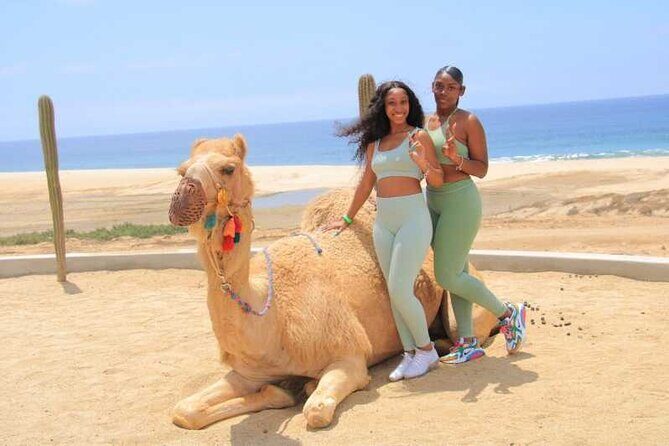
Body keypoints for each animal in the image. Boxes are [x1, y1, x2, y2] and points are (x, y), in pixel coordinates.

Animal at [169, 134, 498, 430]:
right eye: (182, 170)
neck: (272, 313)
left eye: (228, 168)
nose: (183, 196)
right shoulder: (250, 372)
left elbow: (315, 411)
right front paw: (279, 392)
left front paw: (298, 389)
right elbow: (184, 411)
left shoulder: (349, 355)